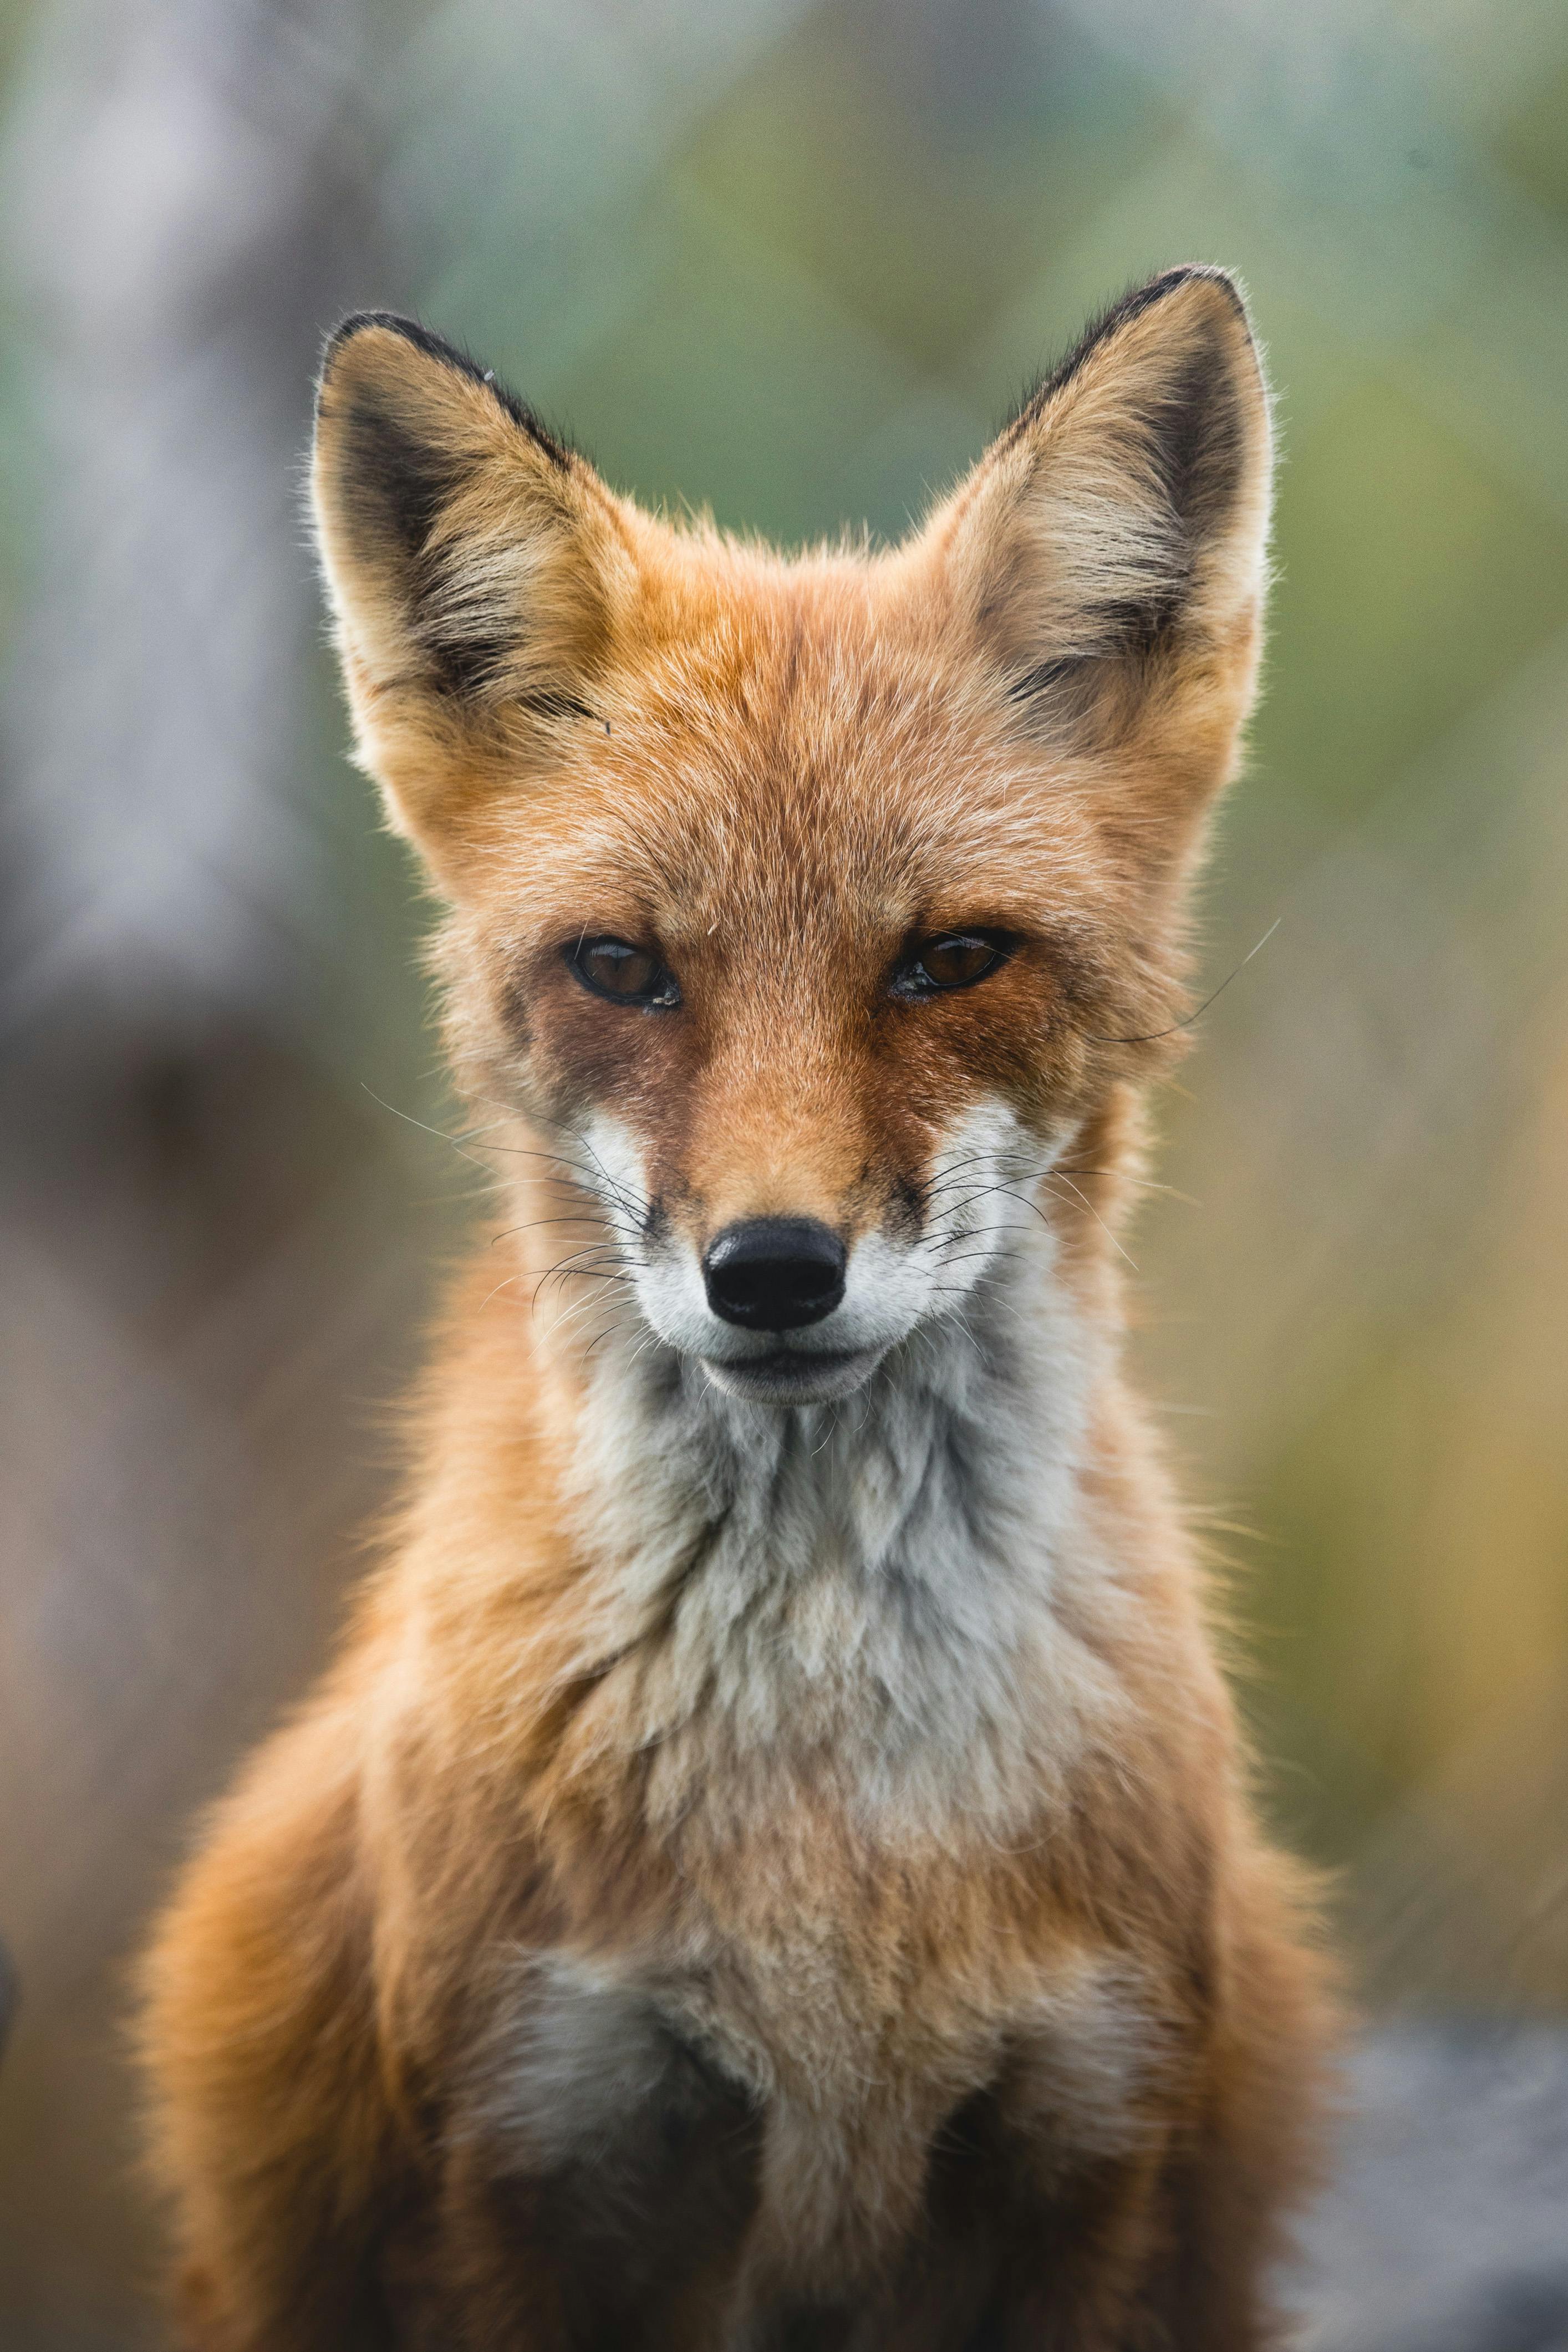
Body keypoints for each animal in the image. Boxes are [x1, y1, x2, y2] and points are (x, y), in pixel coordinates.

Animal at [137, 265, 1335, 2351]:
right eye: (621, 968)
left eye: (950, 959)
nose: (771, 1270)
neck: (830, 1821)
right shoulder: (538, 2144)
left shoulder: (1088, 2139)